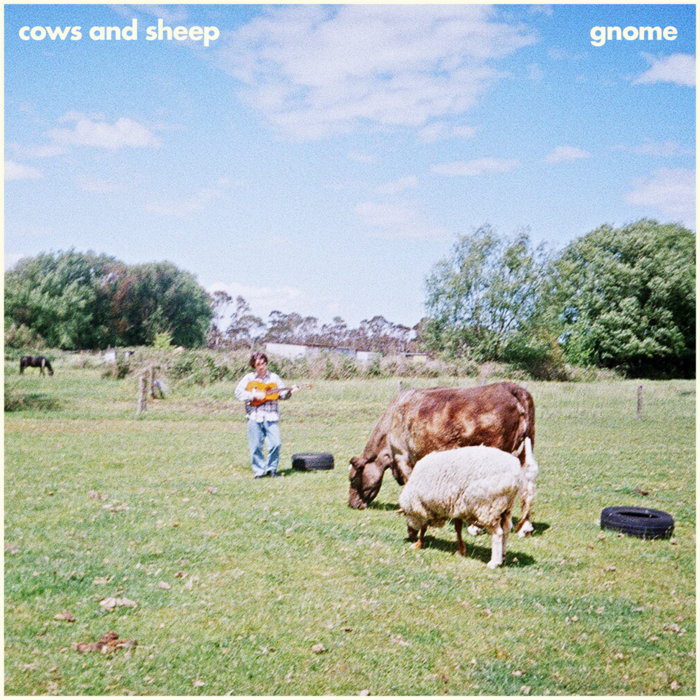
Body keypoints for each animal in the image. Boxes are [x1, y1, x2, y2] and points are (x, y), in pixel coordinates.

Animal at [348, 381, 539, 536]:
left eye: (353, 478)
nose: (352, 504)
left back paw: (476, 526)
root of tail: (510, 387)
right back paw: (524, 526)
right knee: (527, 486)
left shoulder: (403, 456)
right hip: (525, 450)